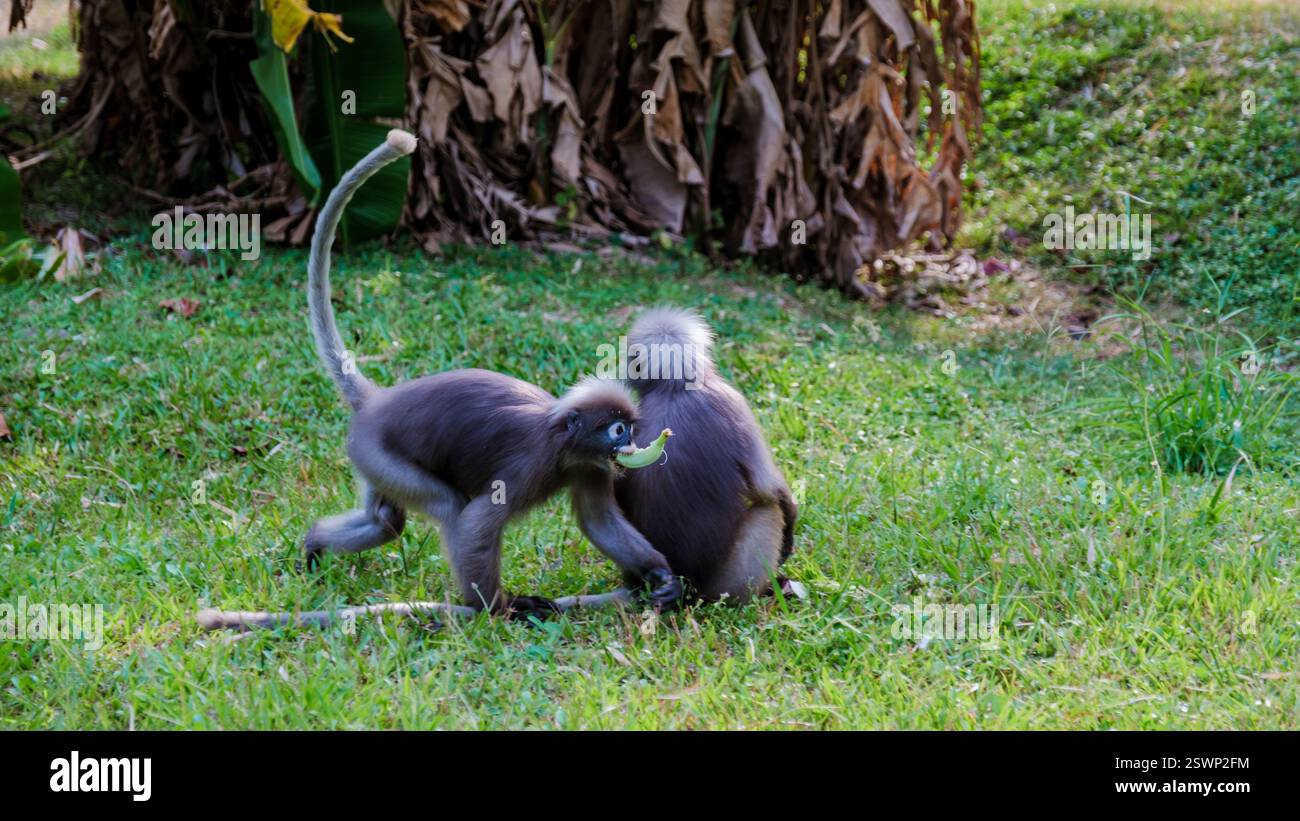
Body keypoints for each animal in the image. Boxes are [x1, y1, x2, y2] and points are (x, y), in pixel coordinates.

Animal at [197, 130, 680, 629]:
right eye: (618, 428)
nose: (632, 443)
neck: (564, 441)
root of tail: (377, 400)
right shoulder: (530, 464)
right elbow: (476, 523)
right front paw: (499, 608)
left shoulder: (589, 465)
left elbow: (599, 523)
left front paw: (661, 577)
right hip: (378, 452)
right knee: (448, 508)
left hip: (369, 460)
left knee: (384, 521)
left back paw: (314, 544)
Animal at [613, 309, 797, 603]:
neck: (674, 388)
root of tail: (690, 588)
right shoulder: (732, 401)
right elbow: (768, 488)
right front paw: (789, 541)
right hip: (726, 584)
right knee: (768, 510)